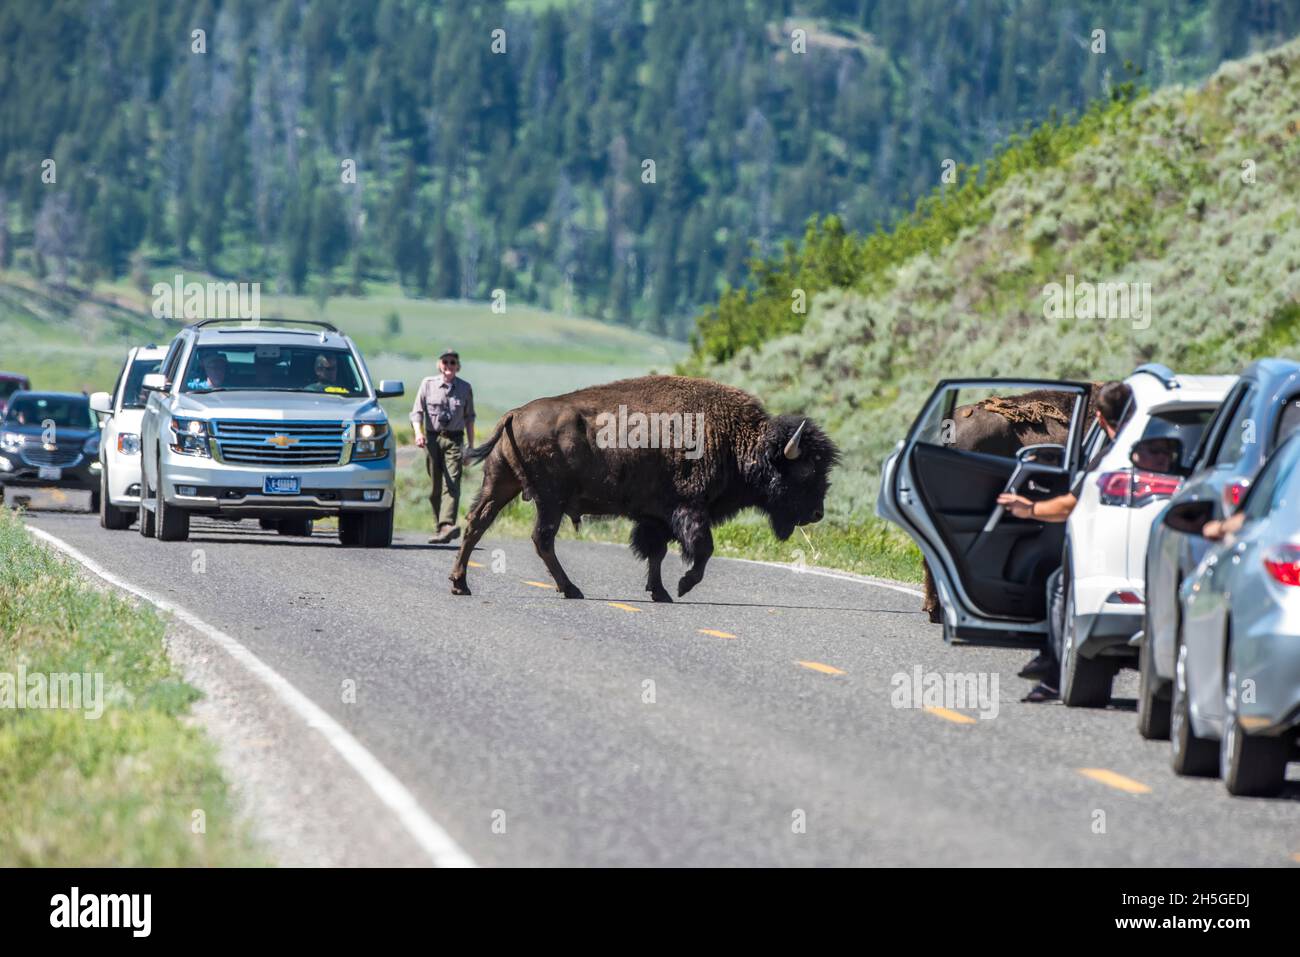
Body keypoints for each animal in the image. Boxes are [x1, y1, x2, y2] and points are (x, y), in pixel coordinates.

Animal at [448, 376, 839, 600]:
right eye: (805, 471)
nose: (817, 513)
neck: (735, 438)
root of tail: (514, 413)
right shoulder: (688, 509)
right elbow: (702, 549)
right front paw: (682, 586)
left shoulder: (657, 518)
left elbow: (656, 552)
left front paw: (660, 592)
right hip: (549, 499)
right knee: (540, 539)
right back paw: (571, 589)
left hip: (500, 484)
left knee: (476, 524)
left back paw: (460, 584)